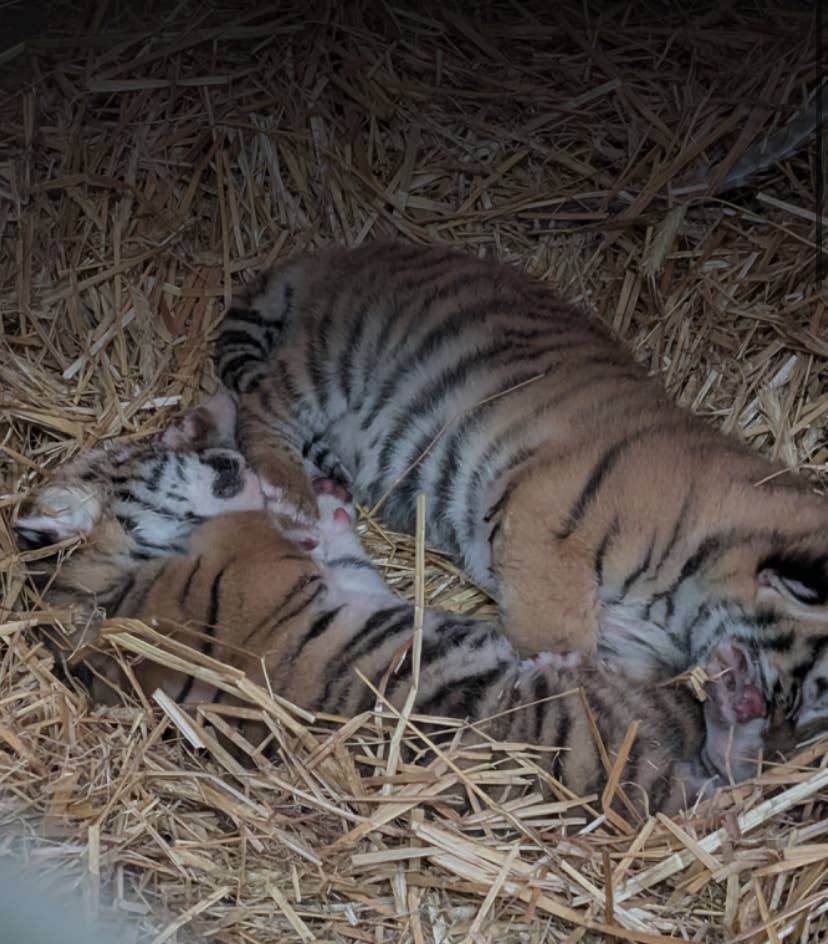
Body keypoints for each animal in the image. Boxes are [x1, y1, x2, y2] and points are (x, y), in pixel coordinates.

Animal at [12, 398, 769, 817]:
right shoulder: (257, 564)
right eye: (141, 458)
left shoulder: (334, 576)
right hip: (598, 716)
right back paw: (731, 688)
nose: (223, 455)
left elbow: (334, 543)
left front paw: (314, 495)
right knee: (728, 769)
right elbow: (267, 521)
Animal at [212, 240, 828, 739]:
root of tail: (334, 254)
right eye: (805, 691)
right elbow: (557, 633)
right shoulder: (547, 526)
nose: (774, 735)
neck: (686, 600)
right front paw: (565, 689)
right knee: (262, 405)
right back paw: (291, 495)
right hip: (330, 362)